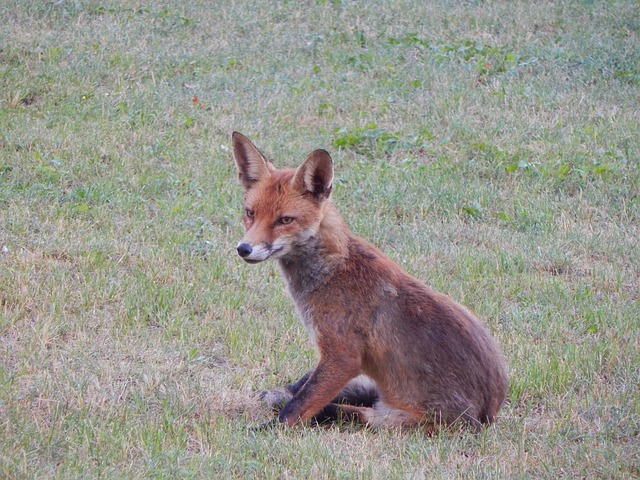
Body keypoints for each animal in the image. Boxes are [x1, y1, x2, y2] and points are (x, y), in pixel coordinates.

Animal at [231, 132, 508, 432]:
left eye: (285, 220)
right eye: (250, 213)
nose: (244, 249)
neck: (331, 269)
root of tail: (488, 415)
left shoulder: (342, 355)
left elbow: (295, 410)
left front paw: (265, 432)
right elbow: (300, 391)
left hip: (392, 419)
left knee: (334, 410)